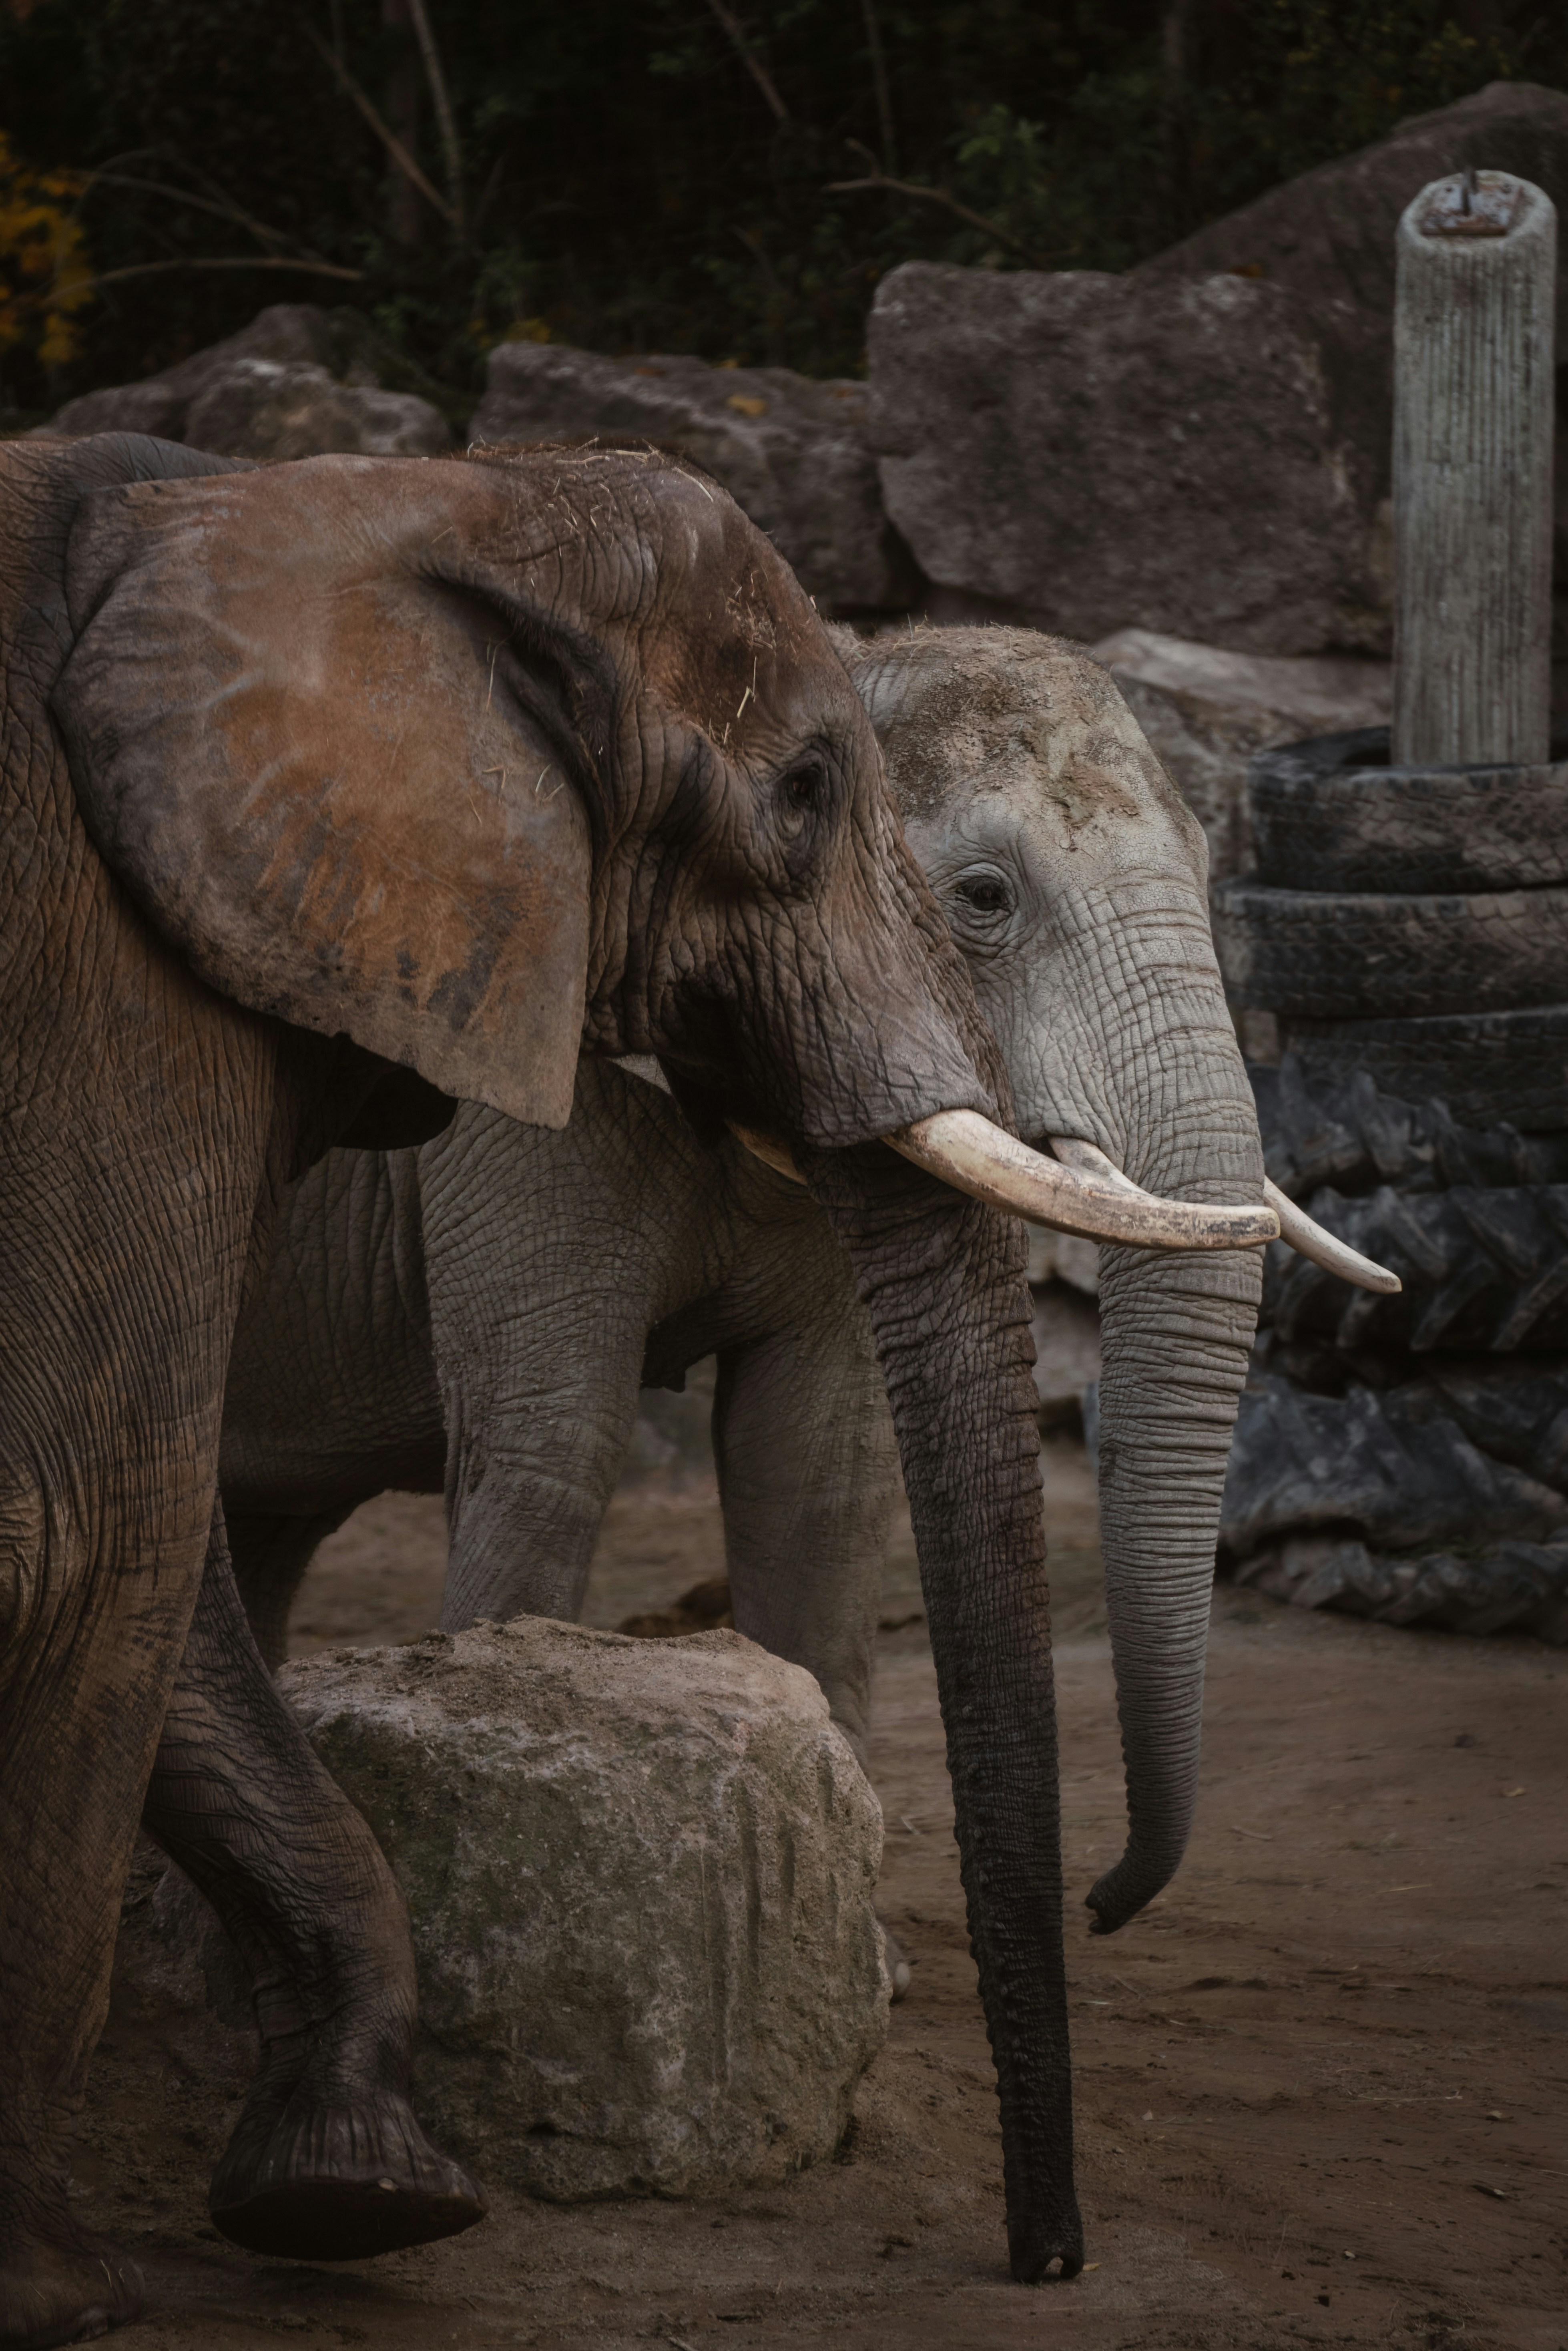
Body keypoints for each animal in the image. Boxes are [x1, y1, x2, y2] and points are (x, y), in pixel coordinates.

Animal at [1, 433, 1280, 2344]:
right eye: (982, 902)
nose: (1051, 2257)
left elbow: (815, 1478)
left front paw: (868, 1978)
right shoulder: (512, 1093)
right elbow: (554, 1447)